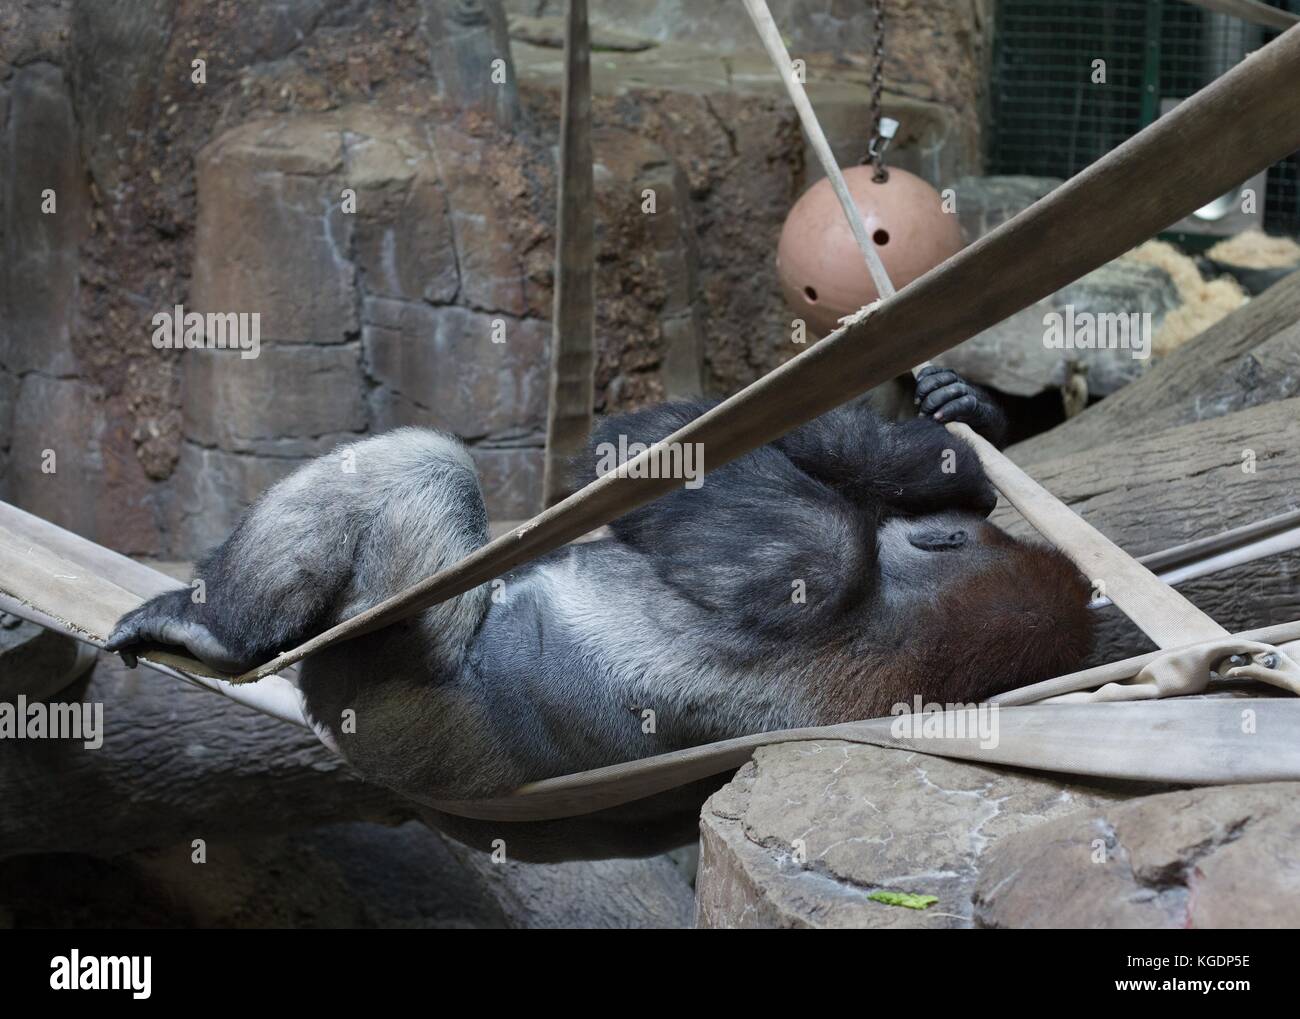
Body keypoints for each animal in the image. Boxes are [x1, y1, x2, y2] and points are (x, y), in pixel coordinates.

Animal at [107, 366, 1093, 861]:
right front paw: (970, 420)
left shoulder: (809, 564)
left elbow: (649, 444)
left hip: (371, 690)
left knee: (417, 464)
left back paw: (212, 627)